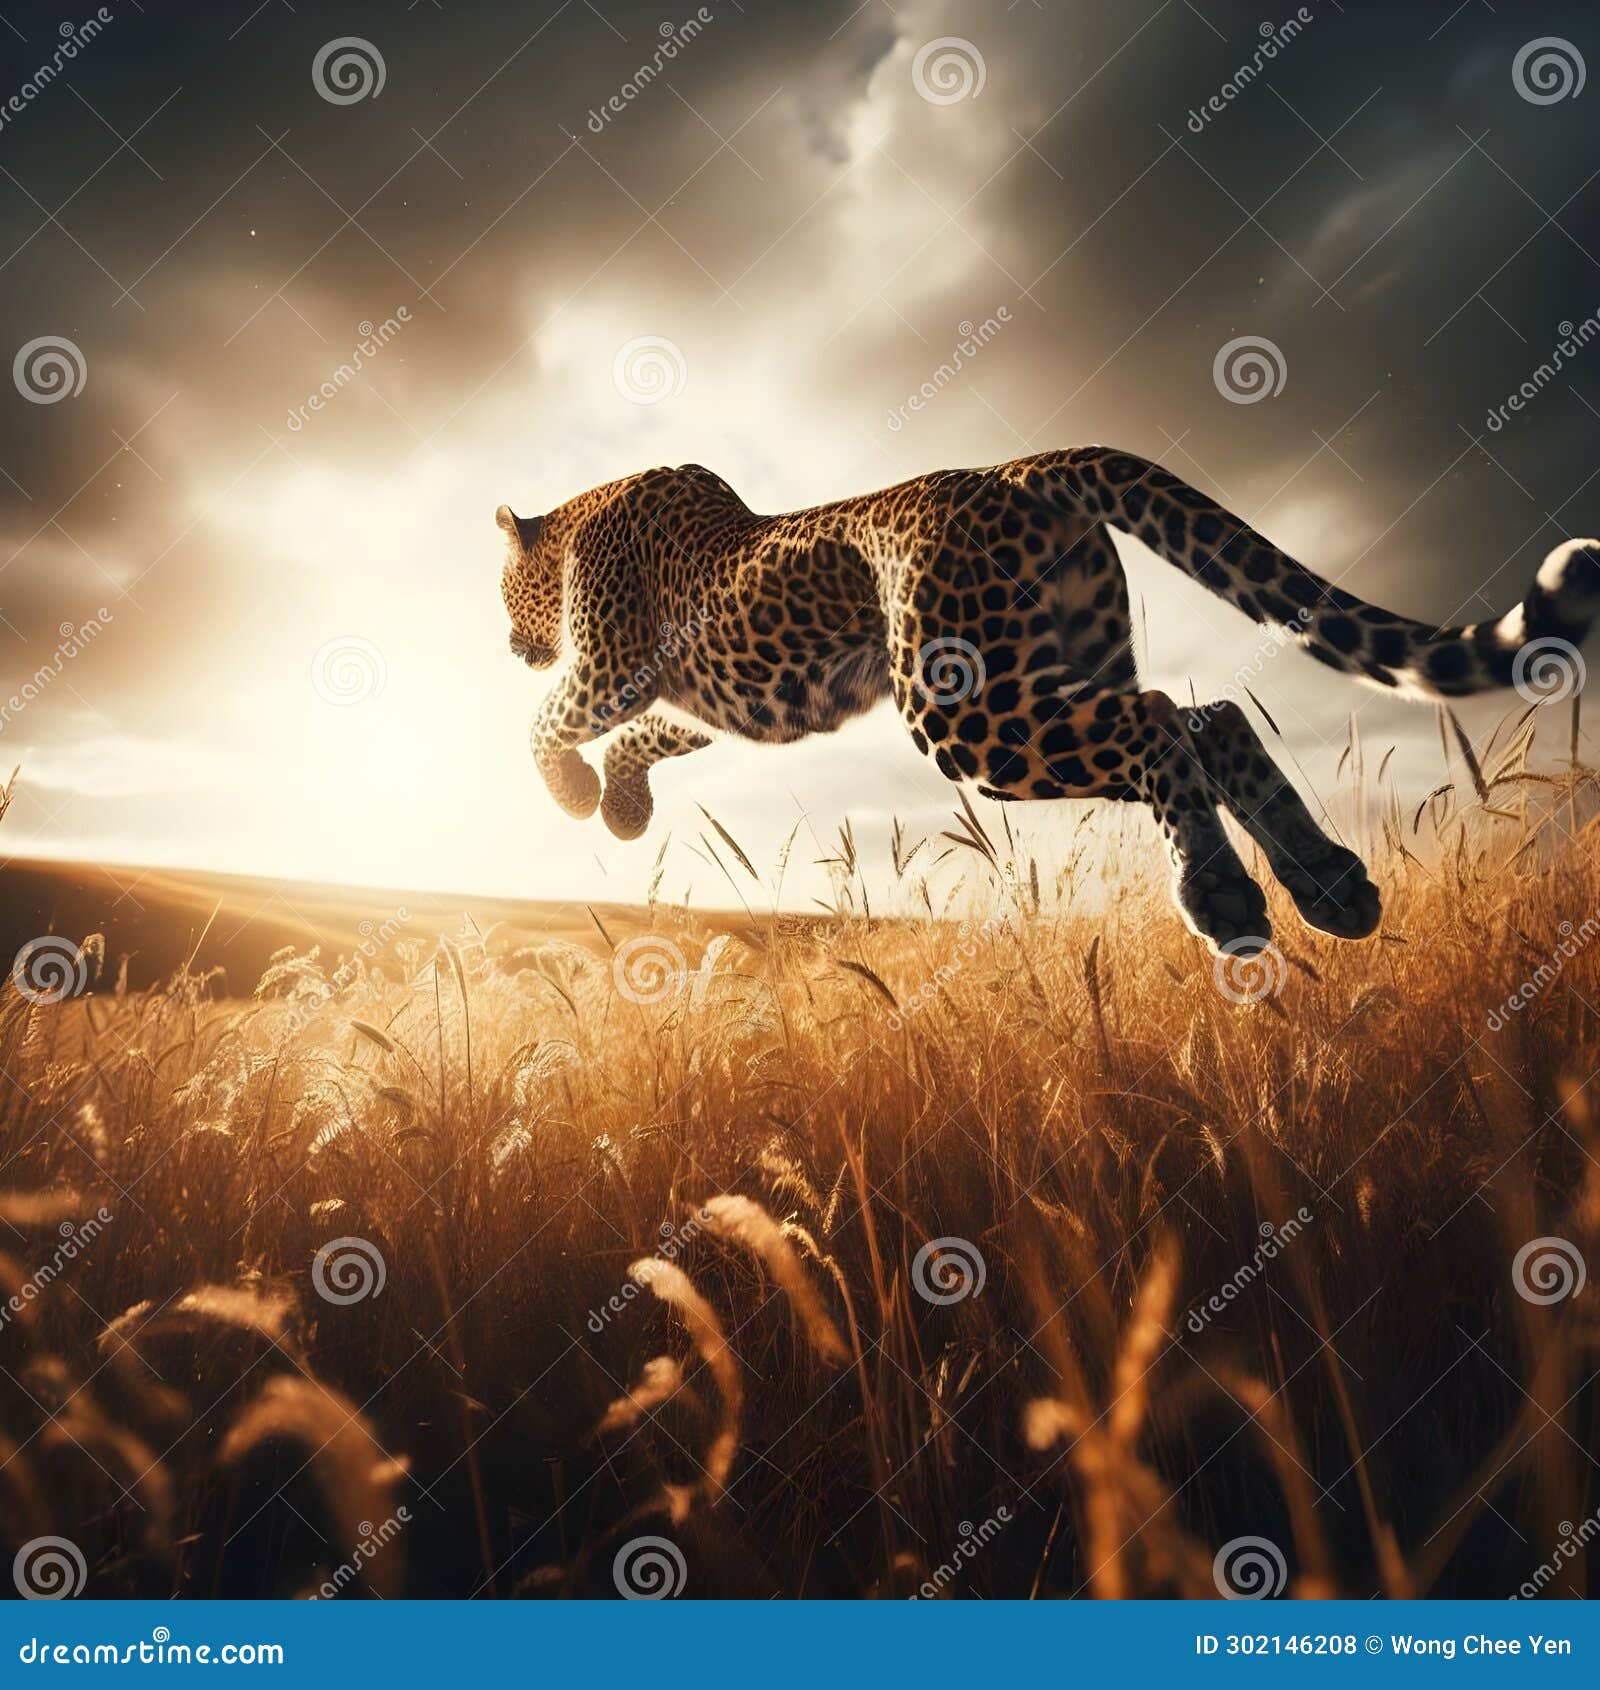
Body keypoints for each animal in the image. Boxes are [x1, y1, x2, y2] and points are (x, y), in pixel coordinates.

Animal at [497, 448, 1600, 956]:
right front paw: (623, 810)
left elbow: (544, 721)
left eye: (506, 595)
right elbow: (645, 735)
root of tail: (1018, 469)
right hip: (1067, 661)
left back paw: (1226, 896)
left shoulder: (609, 661)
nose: (510, 644)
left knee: (1159, 722)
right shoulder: (684, 697)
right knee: (1207, 719)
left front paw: (571, 795)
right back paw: (1328, 883)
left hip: (969, 709)